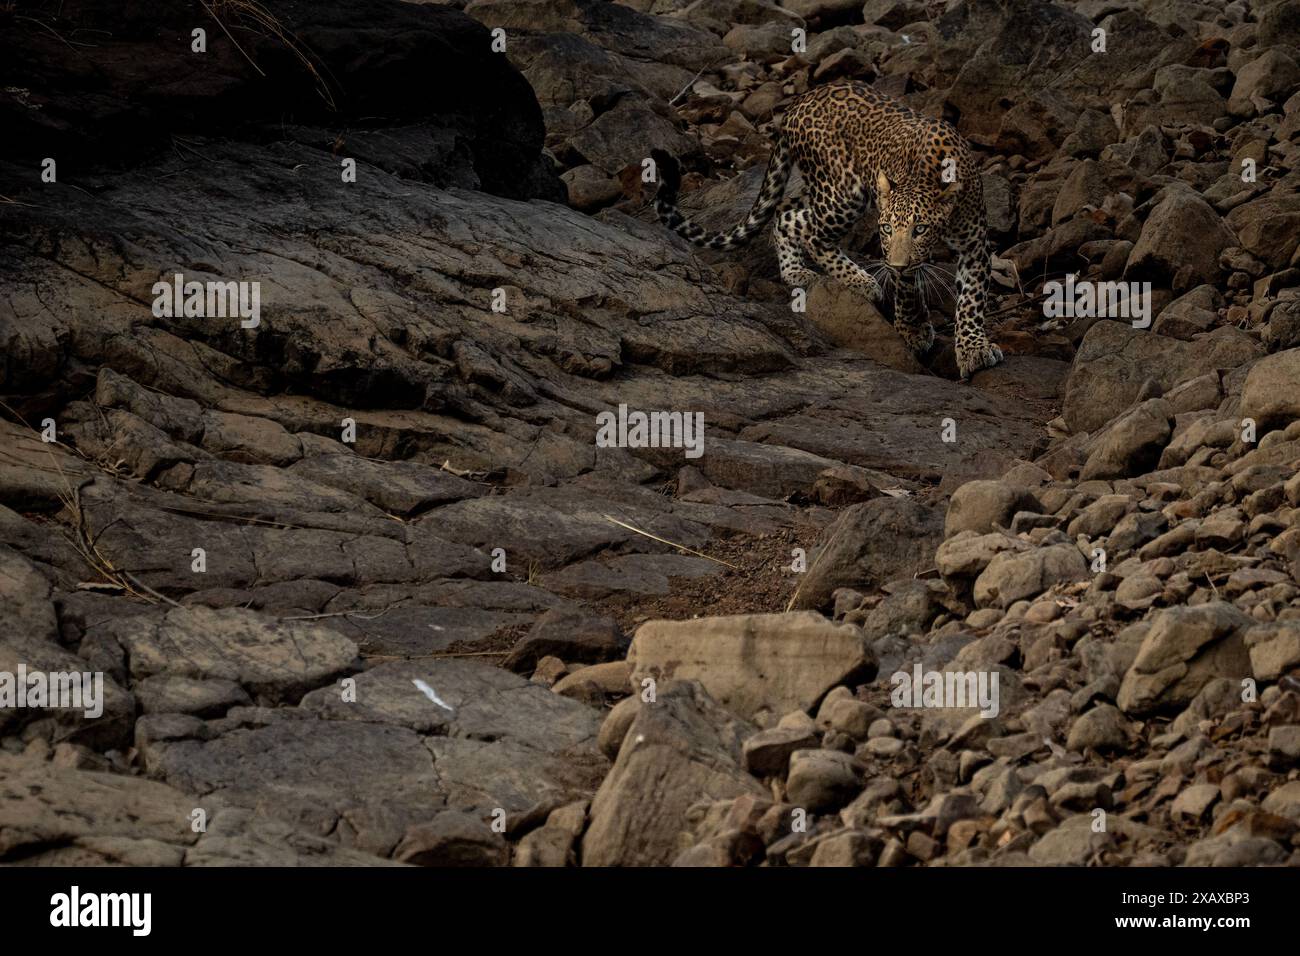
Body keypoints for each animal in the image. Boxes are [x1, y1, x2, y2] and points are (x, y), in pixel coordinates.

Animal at [651, 81, 1004, 380]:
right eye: (887, 228)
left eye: (921, 229)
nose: (895, 264)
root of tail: (798, 102)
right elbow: (907, 288)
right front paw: (914, 330)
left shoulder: (974, 245)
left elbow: (971, 299)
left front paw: (972, 349)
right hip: (843, 193)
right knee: (810, 232)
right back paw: (861, 282)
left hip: (827, 192)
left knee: (786, 212)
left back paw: (796, 273)